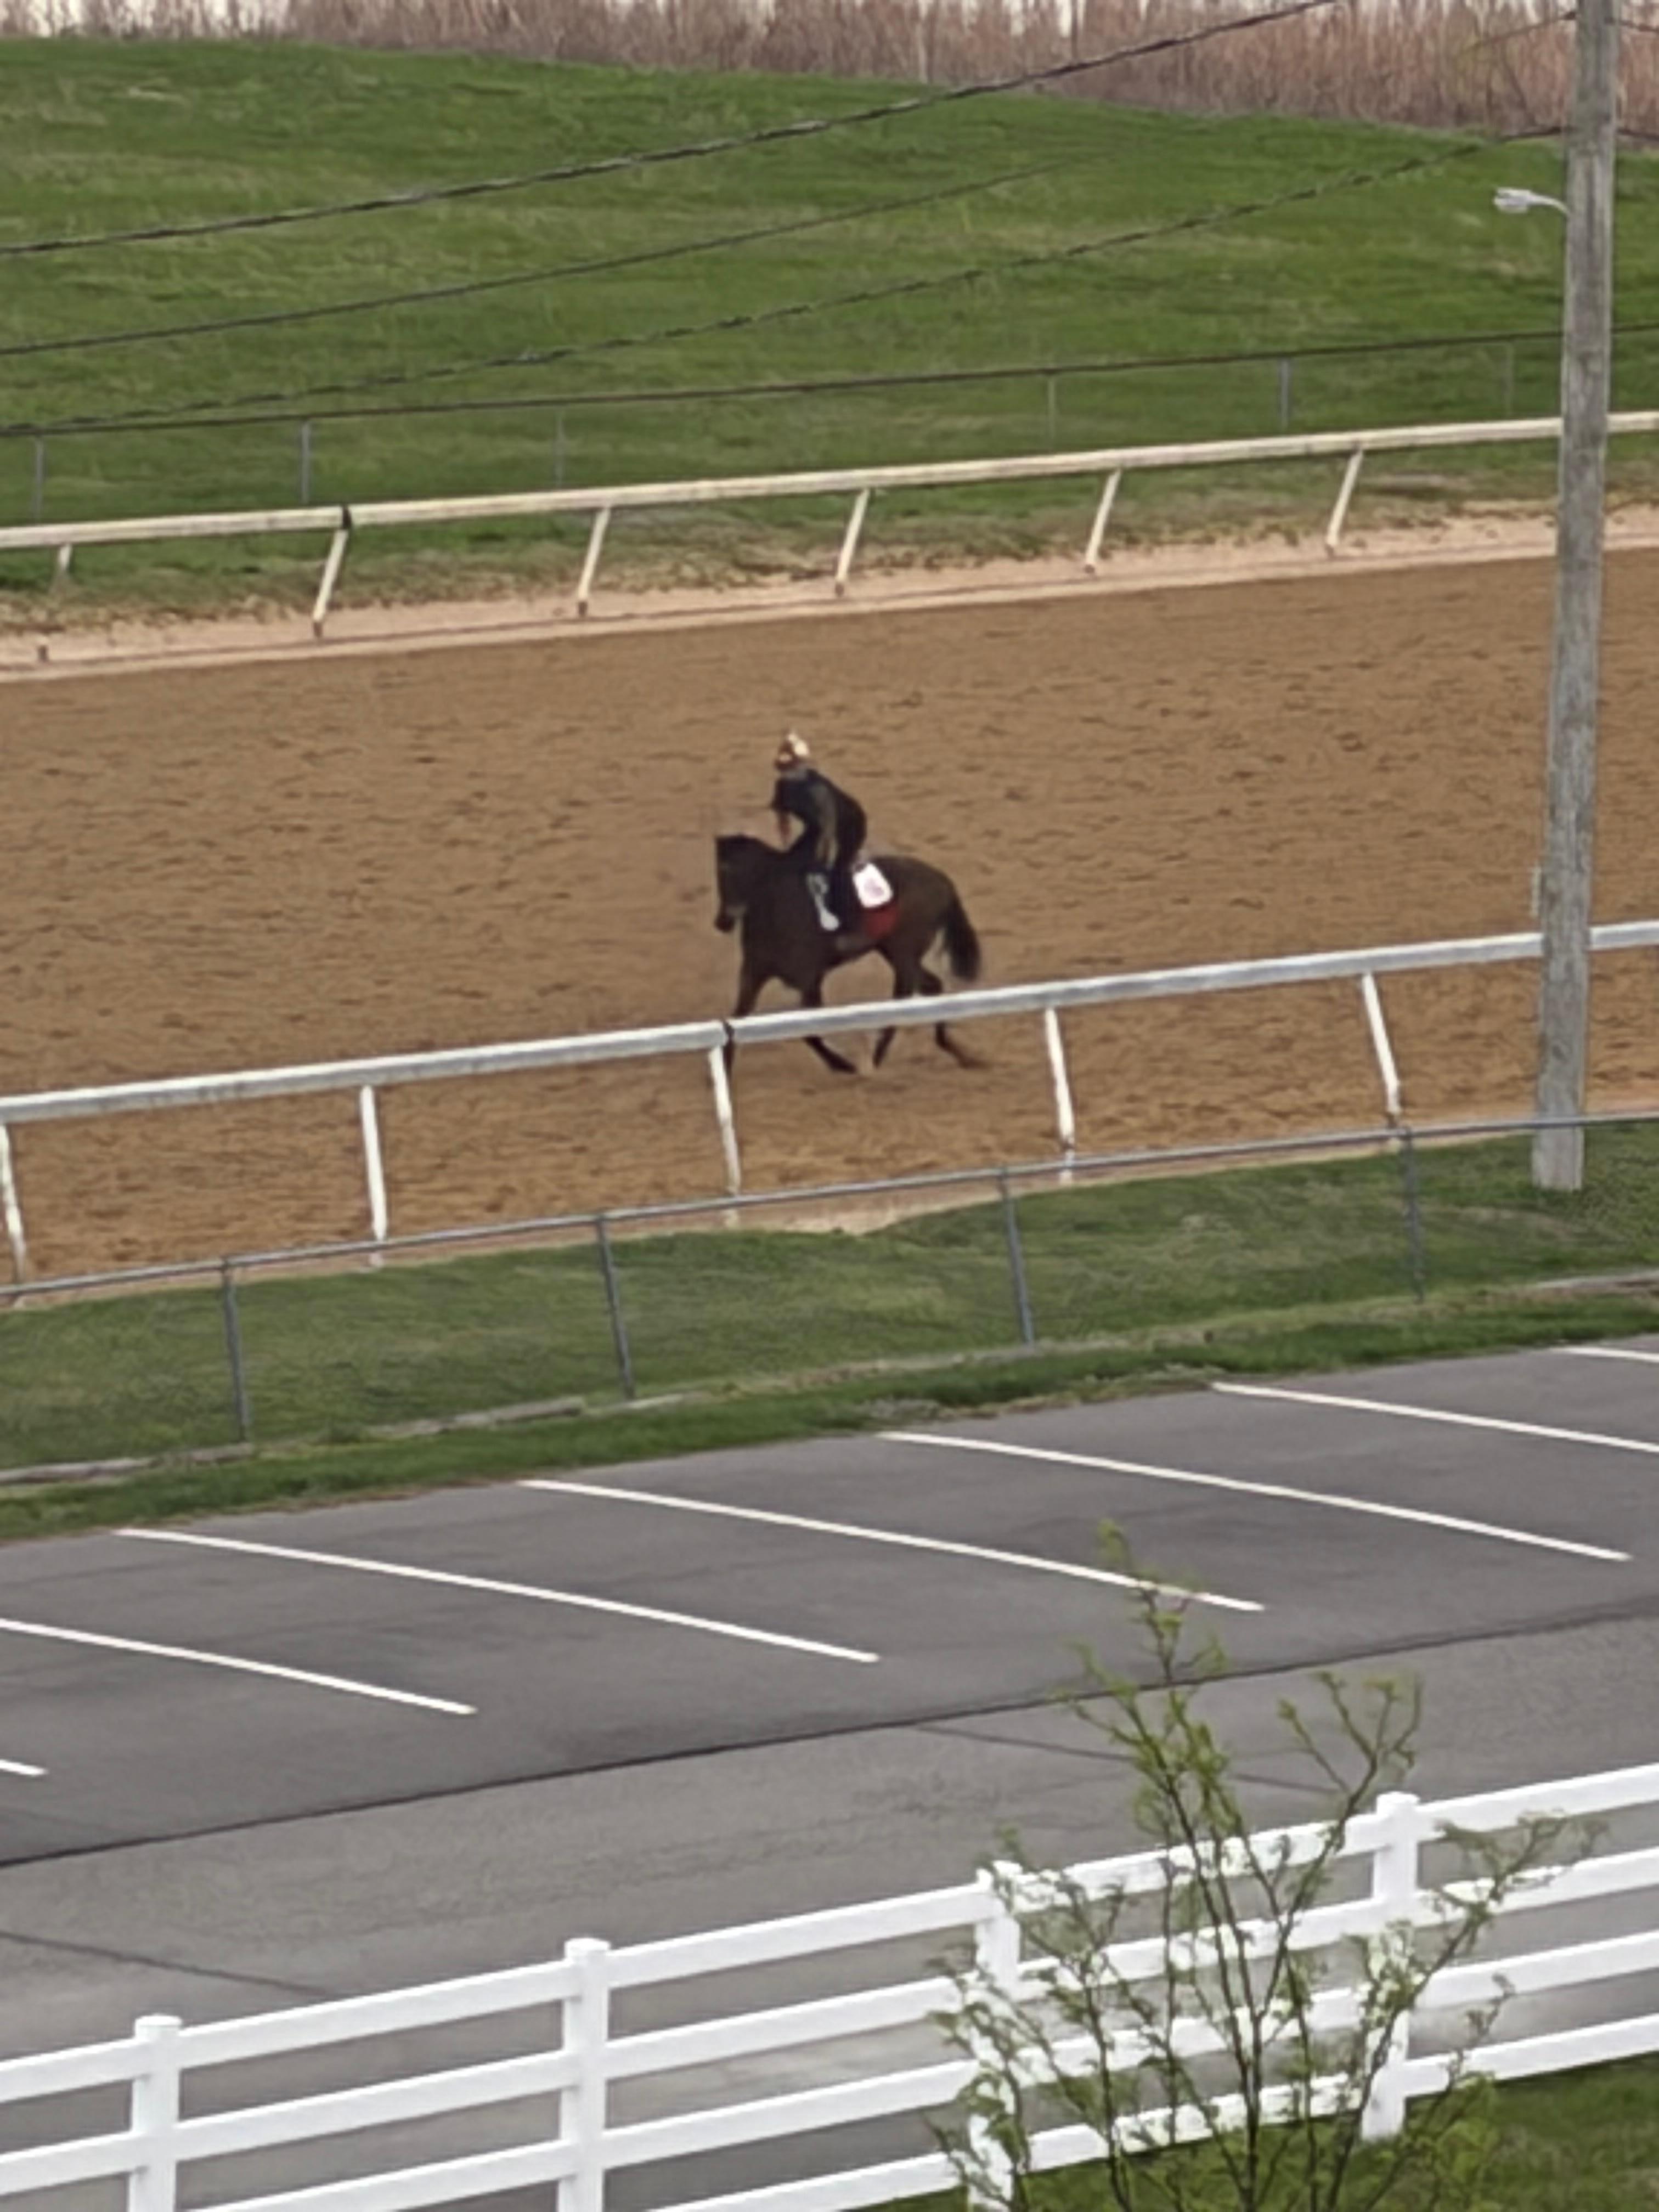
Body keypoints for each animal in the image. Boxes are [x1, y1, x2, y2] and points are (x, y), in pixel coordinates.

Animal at [713, 833, 983, 1076]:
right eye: (720, 873)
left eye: (729, 871)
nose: (722, 922)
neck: (775, 910)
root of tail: (942, 881)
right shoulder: (753, 974)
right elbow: (734, 1022)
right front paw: (723, 1069)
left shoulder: (809, 981)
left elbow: (810, 1033)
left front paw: (843, 1065)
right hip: (894, 952)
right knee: (932, 986)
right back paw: (954, 1051)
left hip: (903, 953)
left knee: (906, 995)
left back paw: (880, 1055)